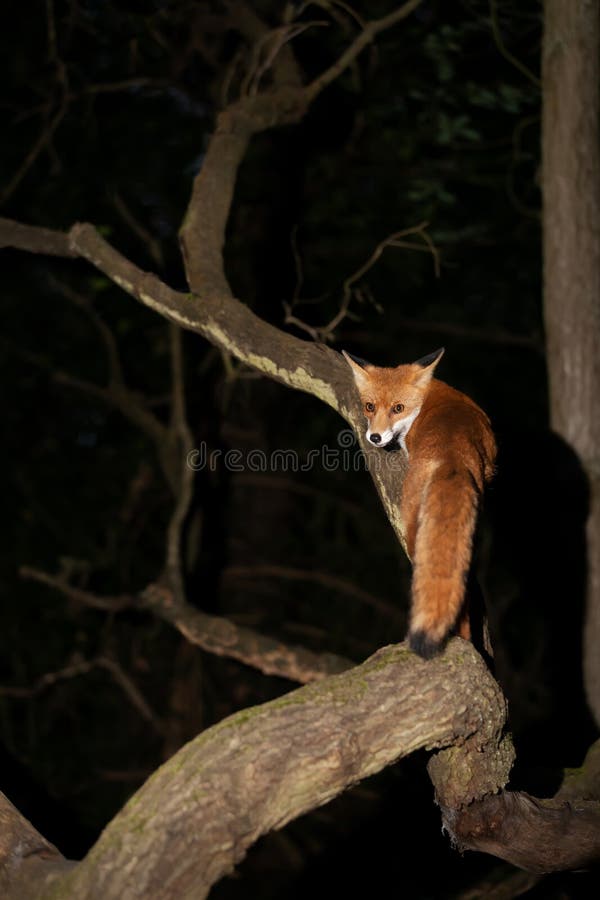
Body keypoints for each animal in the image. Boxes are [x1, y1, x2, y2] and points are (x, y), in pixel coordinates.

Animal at [342, 347, 496, 659]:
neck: (429, 395)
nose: (374, 437)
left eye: (397, 408)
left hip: (413, 525)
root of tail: (451, 459)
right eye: (369, 407)